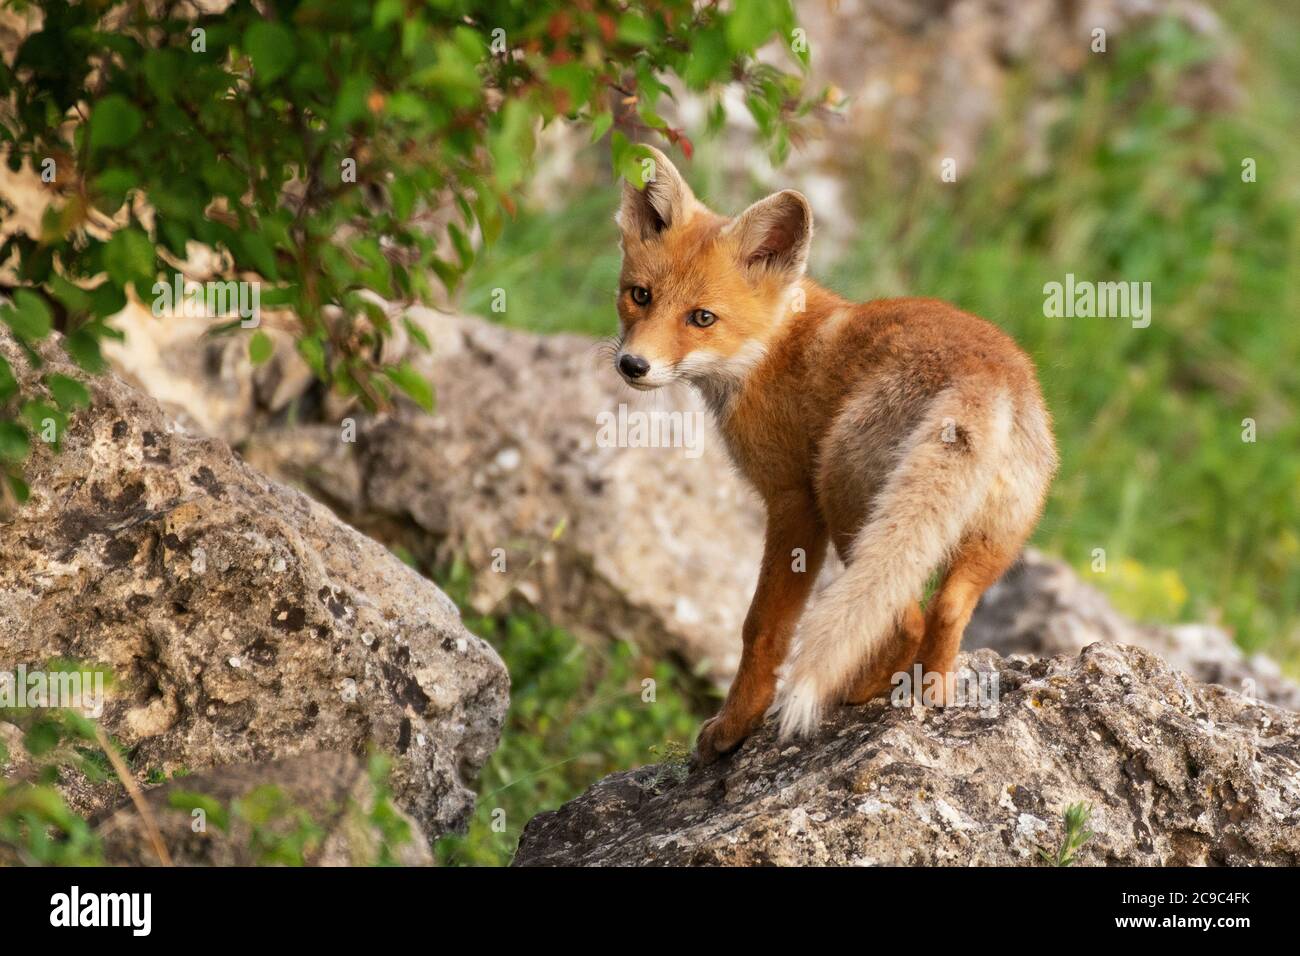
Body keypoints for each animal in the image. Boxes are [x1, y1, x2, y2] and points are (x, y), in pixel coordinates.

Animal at [611, 147, 1059, 765]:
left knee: (904, 619)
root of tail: (984, 375)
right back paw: (928, 693)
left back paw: (855, 693)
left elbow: (762, 628)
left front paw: (732, 728)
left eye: (702, 318)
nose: (633, 365)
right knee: (946, 610)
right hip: (995, 539)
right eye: (641, 295)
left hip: (844, 502)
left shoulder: (793, 504)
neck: (769, 351)